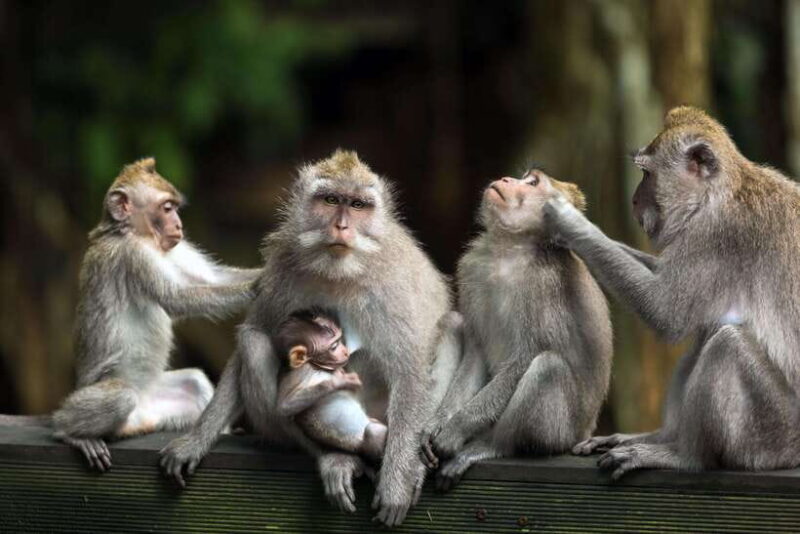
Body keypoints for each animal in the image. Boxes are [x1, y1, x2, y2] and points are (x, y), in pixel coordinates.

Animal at [0, 158, 260, 470]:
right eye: (166, 208)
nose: (178, 225)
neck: (132, 233)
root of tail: (142, 417)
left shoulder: (170, 248)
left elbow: (212, 279)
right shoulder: (133, 255)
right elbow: (177, 299)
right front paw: (257, 288)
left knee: (194, 381)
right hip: (91, 398)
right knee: (117, 398)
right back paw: (71, 433)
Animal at [274, 308, 388, 461]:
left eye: (340, 340)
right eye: (334, 346)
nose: (345, 351)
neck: (316, 366)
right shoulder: (297, 373)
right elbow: (284, 407)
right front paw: (338, 381)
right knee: (373, 431)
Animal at [419, 170, 613, 490]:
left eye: (532, 182)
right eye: (524, 177)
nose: (507, 178)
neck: (509, 251)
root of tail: (585, 432)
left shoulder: (543, 286)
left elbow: (524, 360)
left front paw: (454, 431)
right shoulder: (473, 269)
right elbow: (477, 353)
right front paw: (438, 423)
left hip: (561, 431)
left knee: (548, 366)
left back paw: (493, 446)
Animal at [544, 106, 800, 479]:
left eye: (647, 174)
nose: (635, 200)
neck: (720, 191)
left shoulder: (716, 235)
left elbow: (666, 313)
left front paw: (568, 222)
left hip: (774, 435)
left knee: (726, 343)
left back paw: (686, 456)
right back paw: (661, 437)